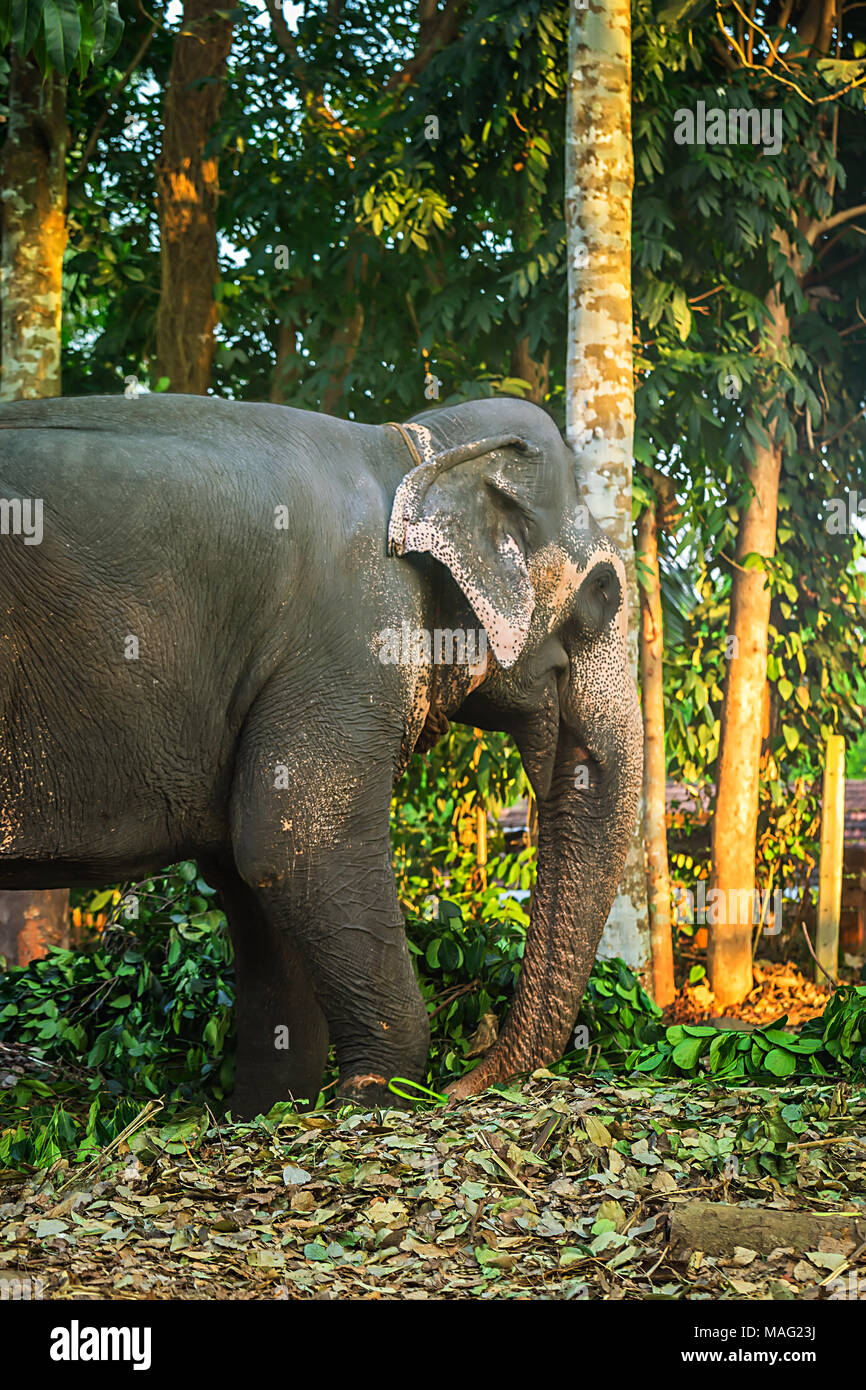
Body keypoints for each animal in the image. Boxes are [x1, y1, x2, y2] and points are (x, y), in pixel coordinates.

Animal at [0, 391, 642, 1115]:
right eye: (605, 593)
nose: (461, 1083)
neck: (413, 444)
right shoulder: (354, 634)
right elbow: (296, 845)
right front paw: (374, 1098)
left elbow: (253, 874)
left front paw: (269, 1111)